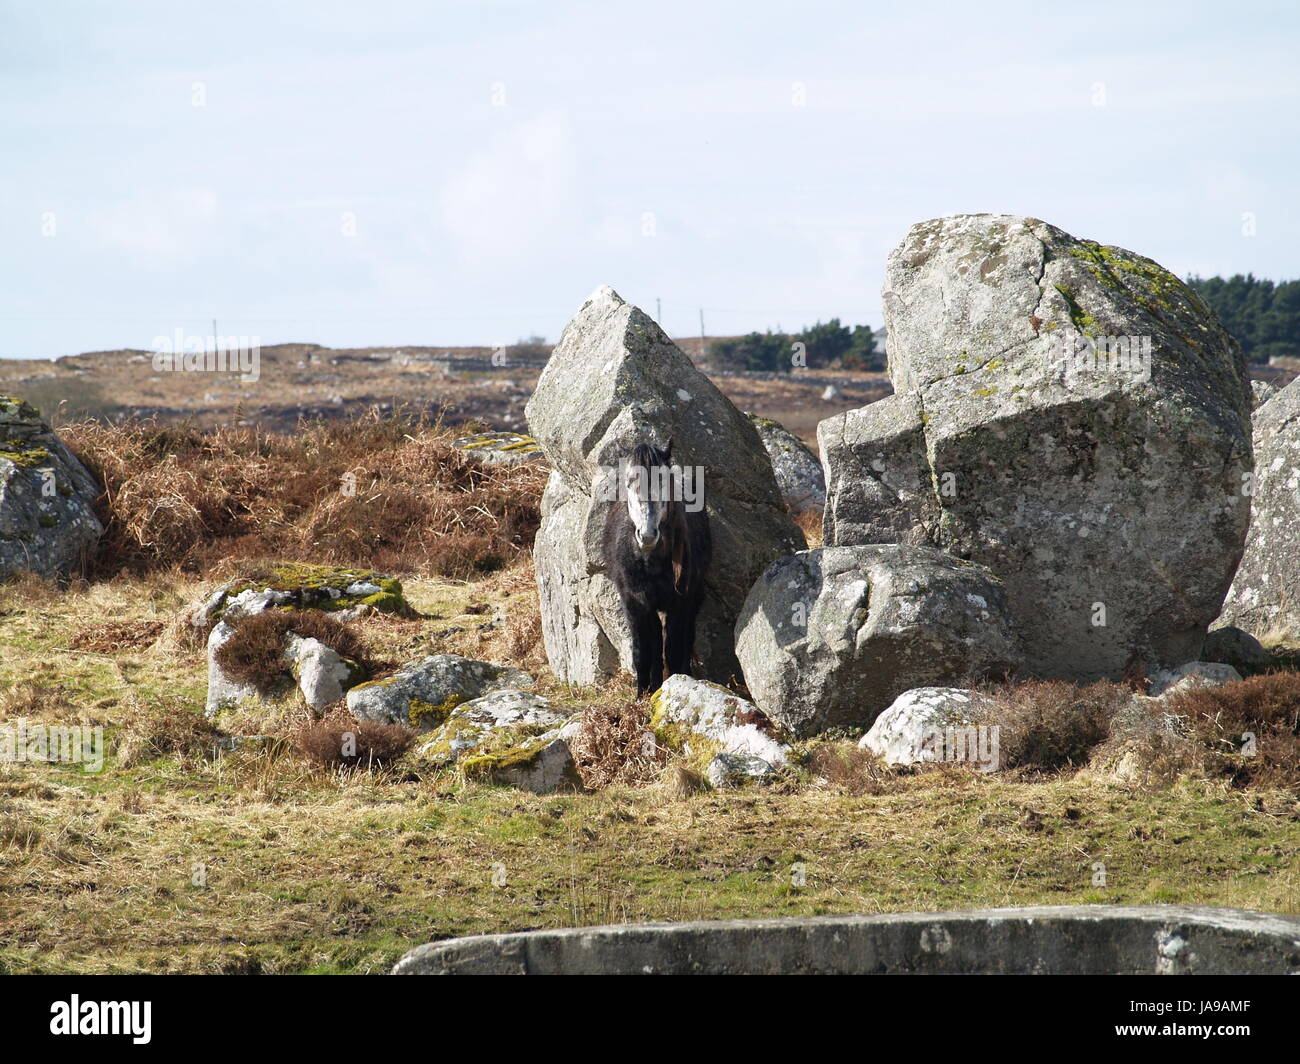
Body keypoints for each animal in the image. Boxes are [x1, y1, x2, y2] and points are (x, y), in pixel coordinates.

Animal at [602, 441, 711, 696]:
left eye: (663, 481)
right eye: (629, 482)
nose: (647, 535)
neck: (649, 561)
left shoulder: (680, 602)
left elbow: (674, 649)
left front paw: (675, 684)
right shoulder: (635, 602)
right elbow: (642, 652)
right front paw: (642, 694)